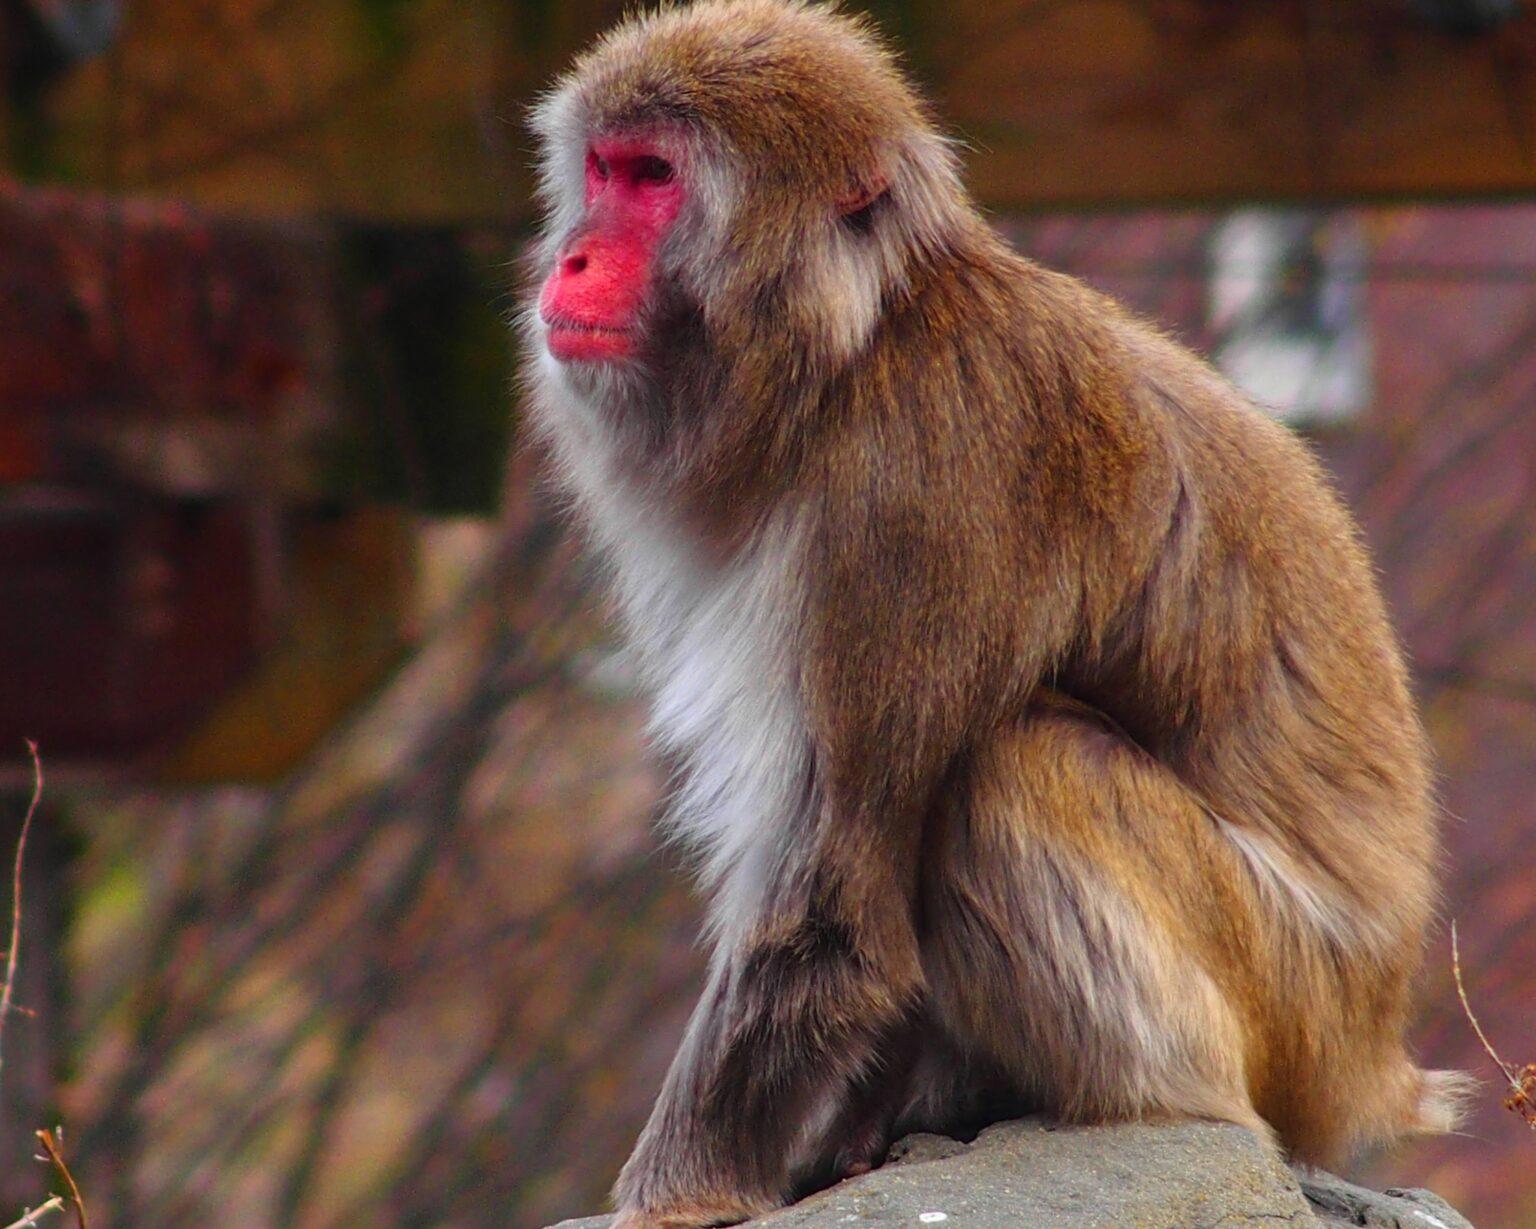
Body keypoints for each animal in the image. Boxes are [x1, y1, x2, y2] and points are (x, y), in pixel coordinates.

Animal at [519, 4, 1469, 1227]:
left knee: (1010, 767)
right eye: (602, 169)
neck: (856, 347)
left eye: (654, 179)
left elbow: (830, 908)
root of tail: (1374, 1059)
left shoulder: (912, 489)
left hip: (1287, 1004)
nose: (574, 256)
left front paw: (674, 1190)